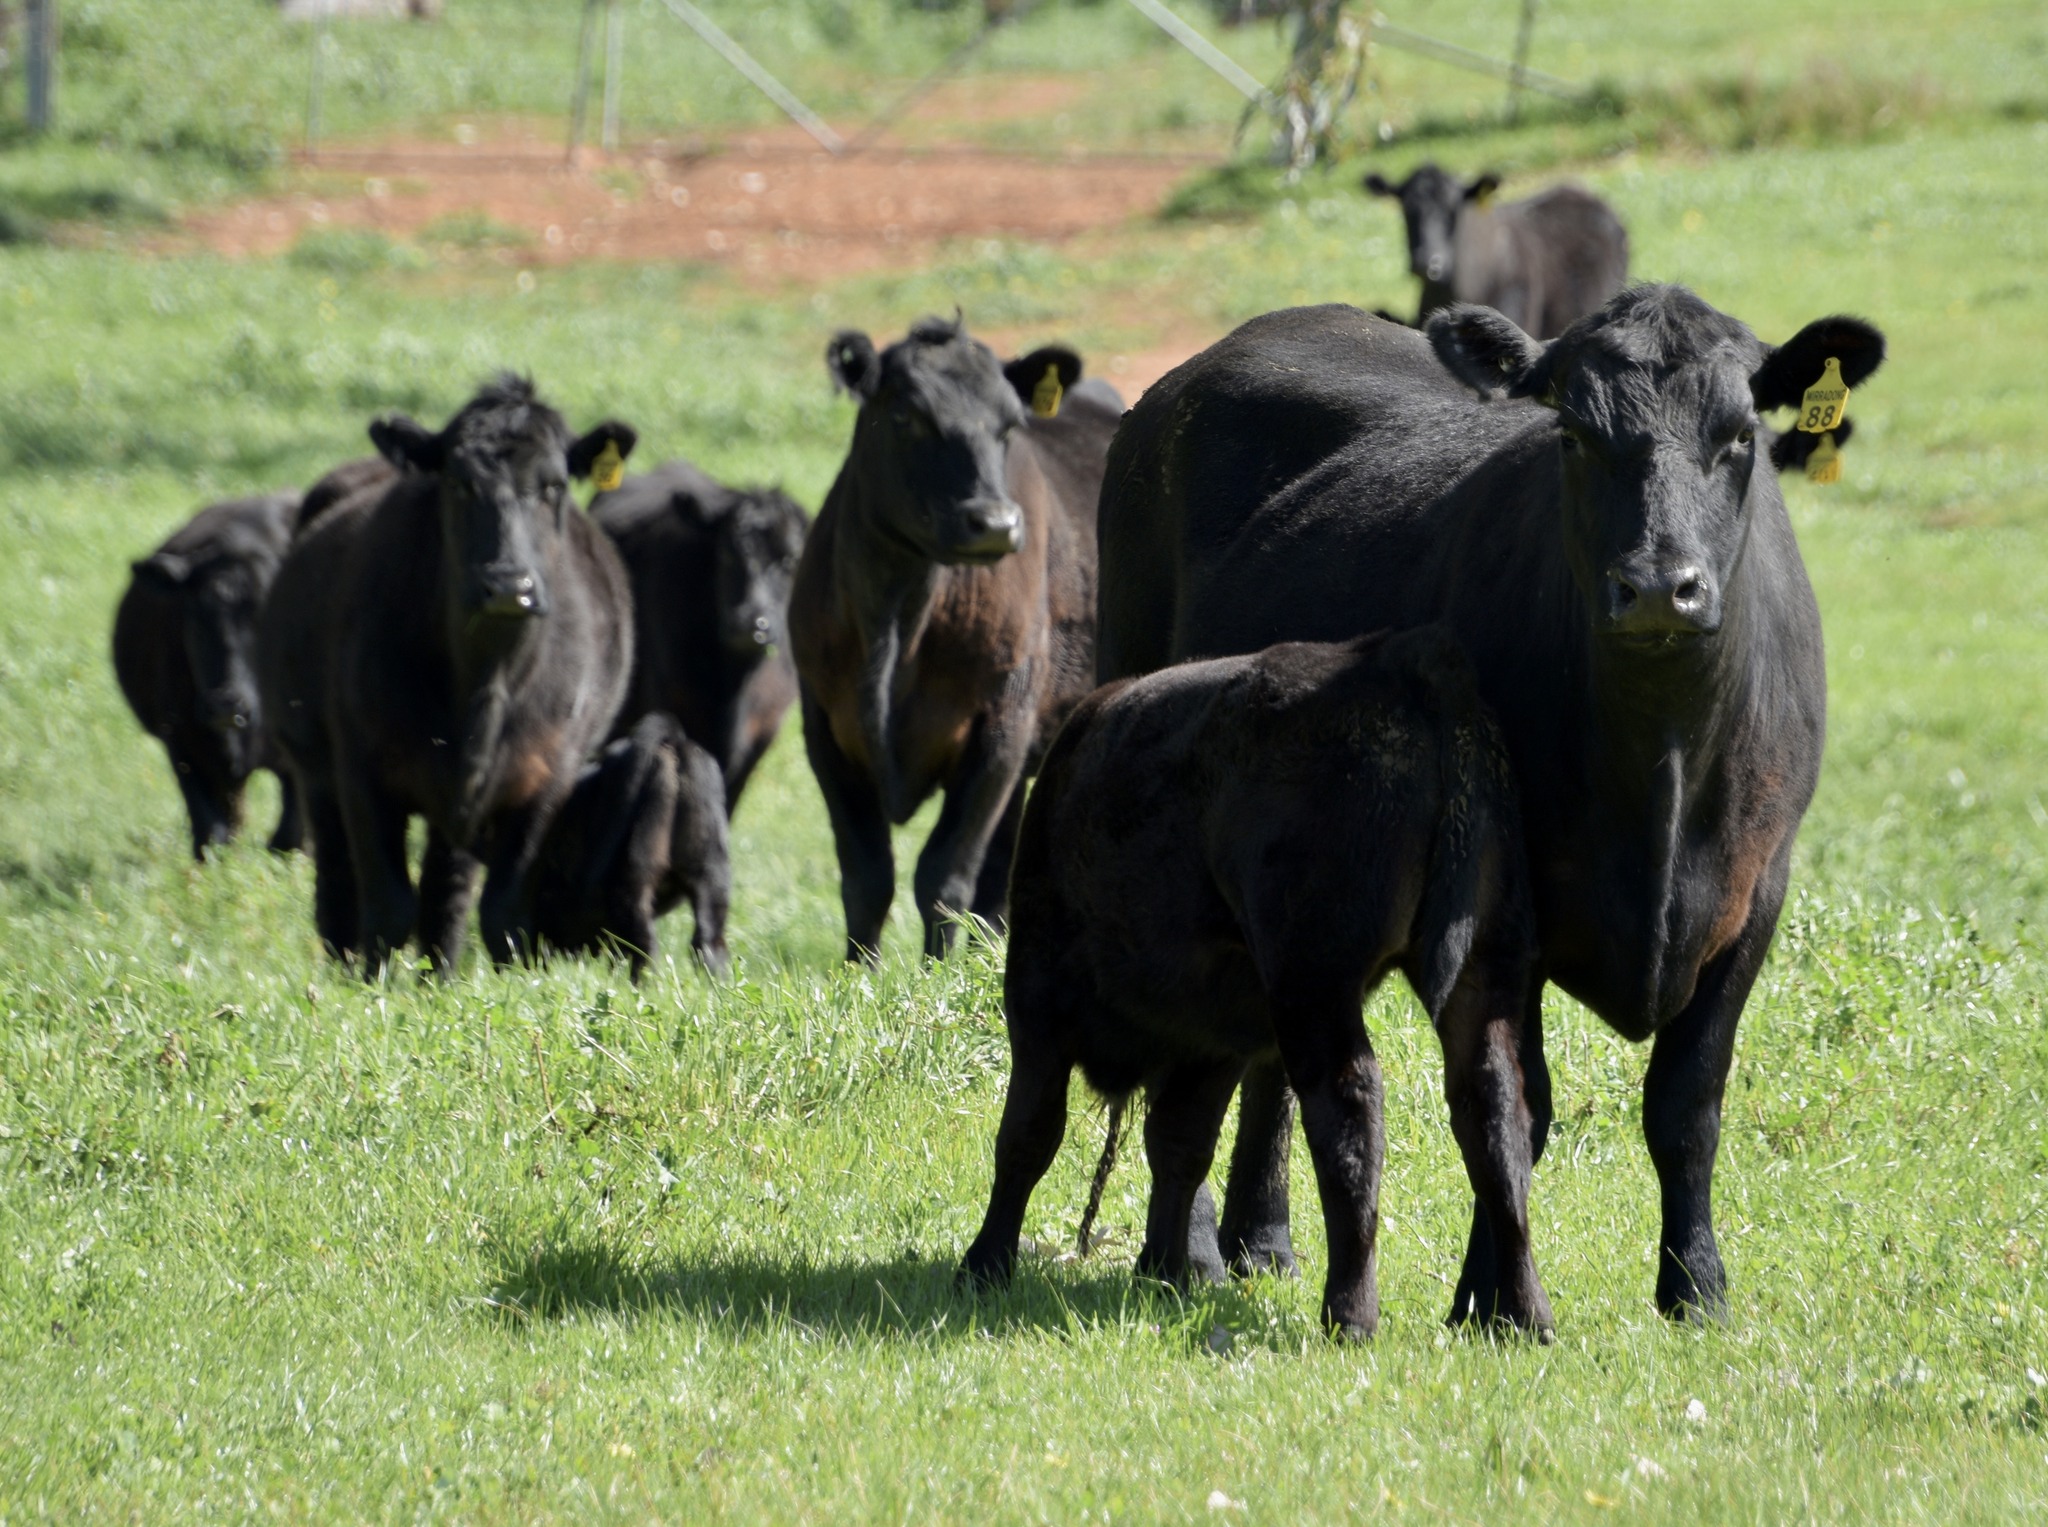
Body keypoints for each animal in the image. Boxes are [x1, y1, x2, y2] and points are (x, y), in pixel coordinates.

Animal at [113, 493, 304, 859]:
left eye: (268, 615)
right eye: (196, 617)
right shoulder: (181, 741)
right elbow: (210, 832)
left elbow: (290, 837)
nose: (226, 704)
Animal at [256, 376, 638, 977]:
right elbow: (388, 902)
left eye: (553, 485)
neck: (486, 679)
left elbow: (503, 912)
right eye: (460, 484)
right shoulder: (360, 767)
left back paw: (441, 976)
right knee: (339, 884)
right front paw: (370, 984)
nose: (508, 585)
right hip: (316, 769)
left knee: (446, 890)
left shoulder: (548, 775)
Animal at [789, 318, 1120, 961]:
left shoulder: (1000, 728)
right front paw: (858, 971)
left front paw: (934, 974)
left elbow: (942, 877)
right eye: (908, 416)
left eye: (1010, 424)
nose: (994, 523)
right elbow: (866, 876)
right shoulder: (823, 728)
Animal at [960, 629, 1547, 1339]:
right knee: (1494, 1110)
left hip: (1313, 984)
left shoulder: (1038, 998)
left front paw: (985, 1264)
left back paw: (1350, 1312)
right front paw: (1163, 1272)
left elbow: (1028, 1134)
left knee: (1349, 1109)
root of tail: (1395, 655)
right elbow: (1179, 1144)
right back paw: (1526, 1314)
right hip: (1484, 967)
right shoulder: (1218, 1037)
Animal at [1096, 287, 1886, 1322]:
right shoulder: (1504, 903)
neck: (1662, 769)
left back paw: (1261, 1237)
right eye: (1574, 434)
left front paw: (1696, 1287)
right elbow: (1514, 1101)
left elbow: (1687, 1102)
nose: (1657, 587)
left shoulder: (1758, 890)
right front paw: (1491, 1296)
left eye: (1741, 434)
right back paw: (1190, 1249)